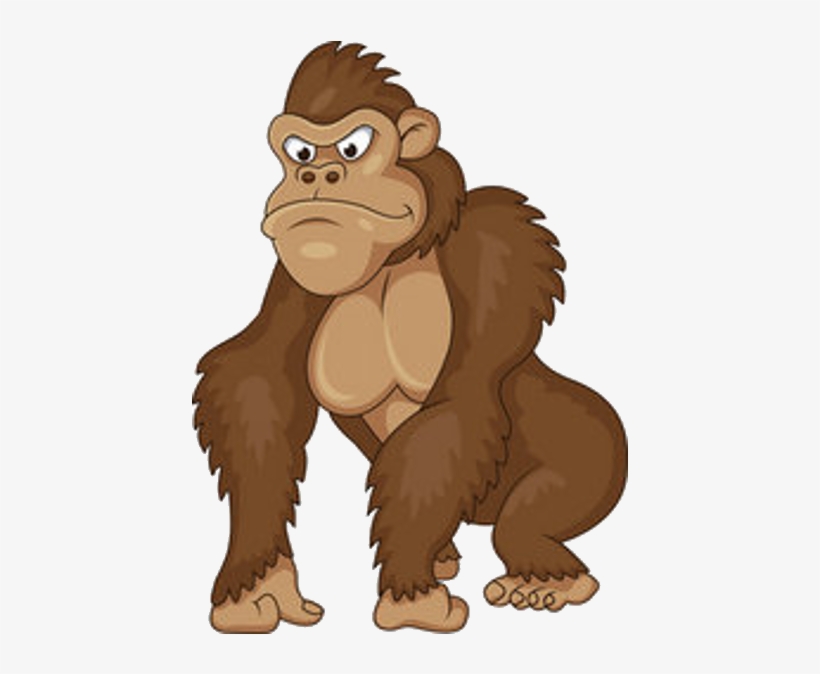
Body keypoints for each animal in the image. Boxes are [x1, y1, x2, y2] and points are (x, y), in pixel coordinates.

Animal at [193, 42, 627, 633]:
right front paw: (260, 584)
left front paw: (410, 598)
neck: (396, 254)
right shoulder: (292, 277)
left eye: (353, 147)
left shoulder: (499, 246)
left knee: (526, 519)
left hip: (597, 452)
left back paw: (542, 579)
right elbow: (257, 378)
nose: (316, 176)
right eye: (299, 151)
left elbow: (459, 403)